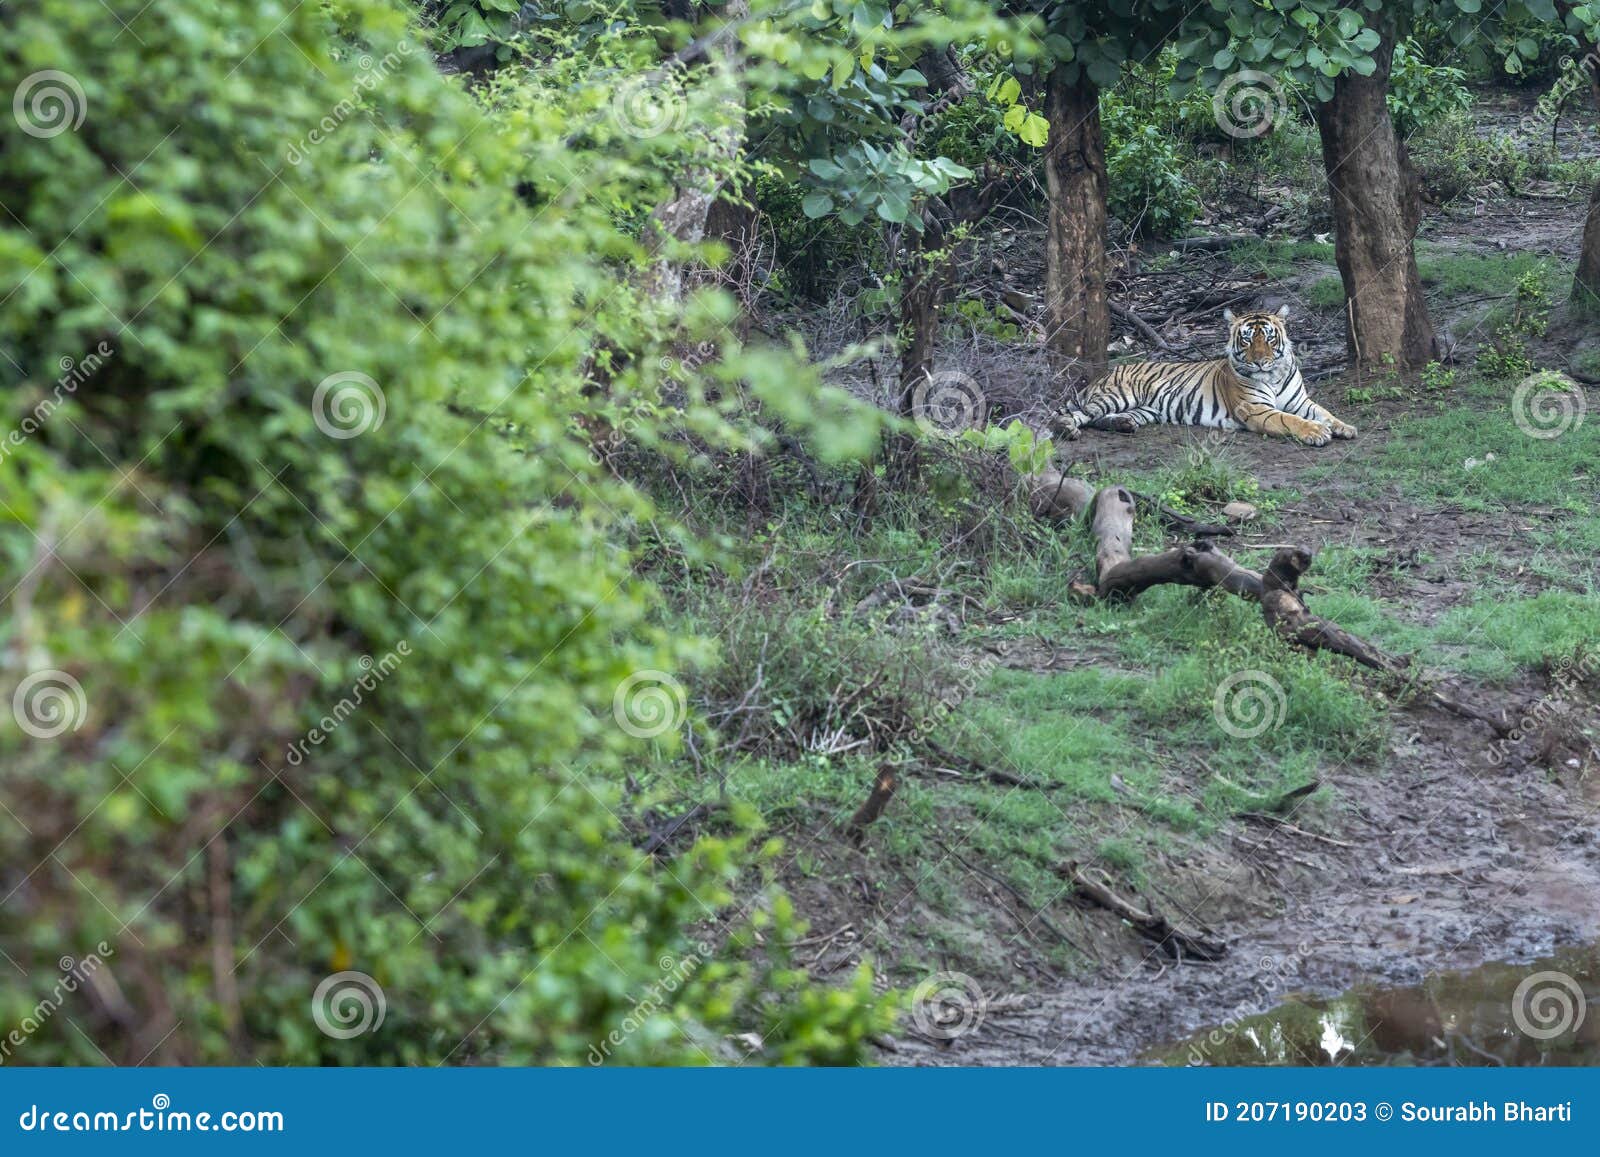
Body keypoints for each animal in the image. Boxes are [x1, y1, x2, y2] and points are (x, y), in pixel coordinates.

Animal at [1056, 306, 1357, 446]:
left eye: (1270, 338)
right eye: (1247, 340)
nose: (1260, 363)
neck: (1273, 375)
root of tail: (1105, 374)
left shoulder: (1300, 402)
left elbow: (1325, 412)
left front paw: (1344, 427)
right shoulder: (1257, 410)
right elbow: (1290, 420)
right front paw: (1316, 432)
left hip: (1144, 410)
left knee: (1098, 419)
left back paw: (1123, 424)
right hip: (1117, 395)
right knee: (1077, 414)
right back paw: (1067, 429)